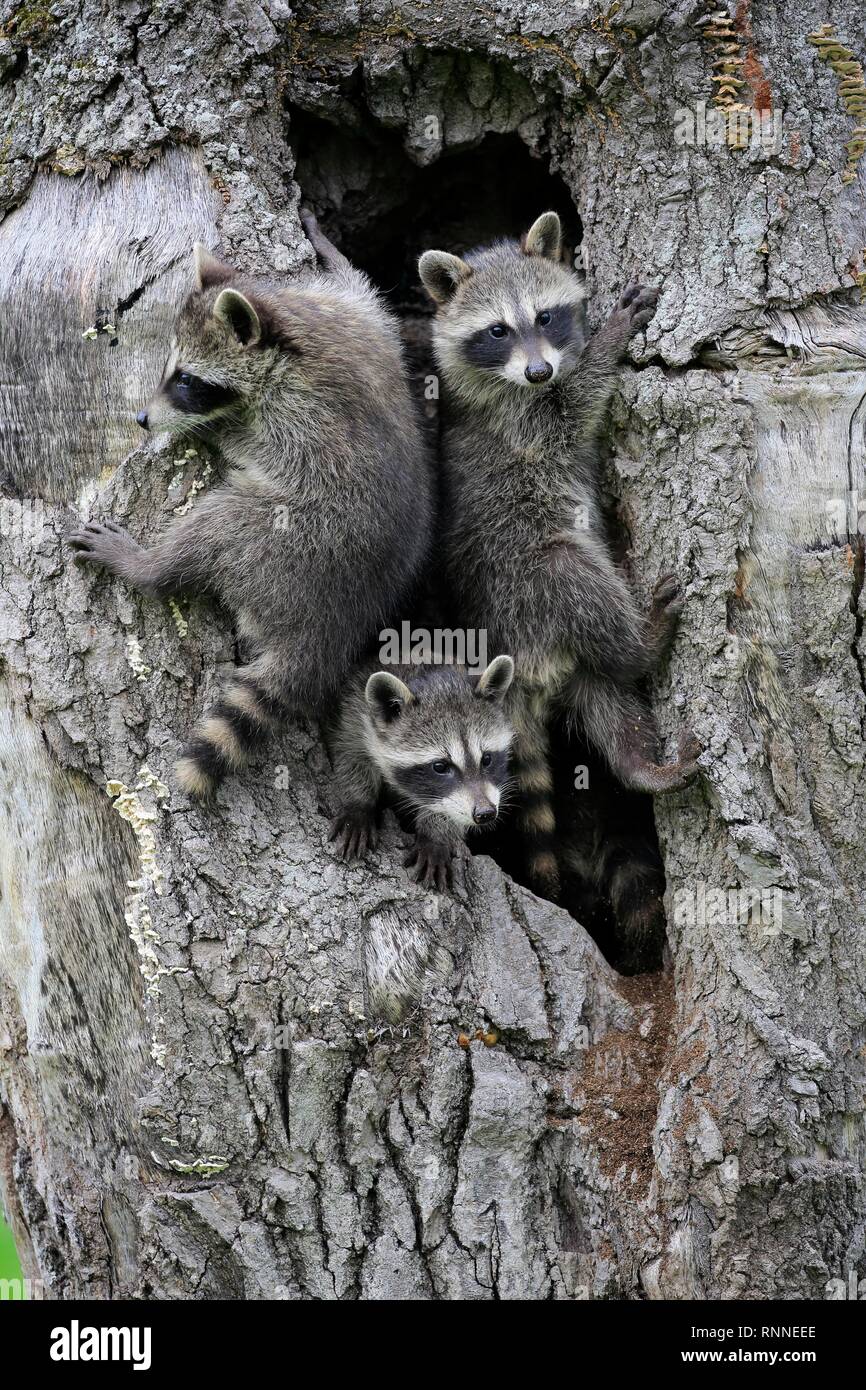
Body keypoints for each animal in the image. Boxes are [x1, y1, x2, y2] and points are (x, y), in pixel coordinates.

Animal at [69, 214, 433, 798]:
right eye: (172, 371)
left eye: (187, 380)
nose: (143, 420)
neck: (289, 331)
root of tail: (338, 623)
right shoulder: (356, 323)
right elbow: (362, 294)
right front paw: (329, 251)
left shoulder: (304, 418)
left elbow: (257, 446)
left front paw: (214, 428)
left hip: (287, 542)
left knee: (222, 525)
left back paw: (147, 566)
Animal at [330, 655, 514, 890]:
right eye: (440, 766)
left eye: (487, 759)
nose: (485, 813)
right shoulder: (355, 711)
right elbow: (350, 753)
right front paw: (359, 803)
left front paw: (435, 834)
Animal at [419, 212, 698, 900]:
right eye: (497, 330)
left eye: (545, 316)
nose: (541, 372)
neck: (512, 384)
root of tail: (520, 662)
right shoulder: (520, 422)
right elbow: (575, 406)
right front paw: (609, 344)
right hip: (531, 578)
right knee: (577, 580)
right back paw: (644, 638)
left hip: (572, 661)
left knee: (610, 706)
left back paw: (642, 765)